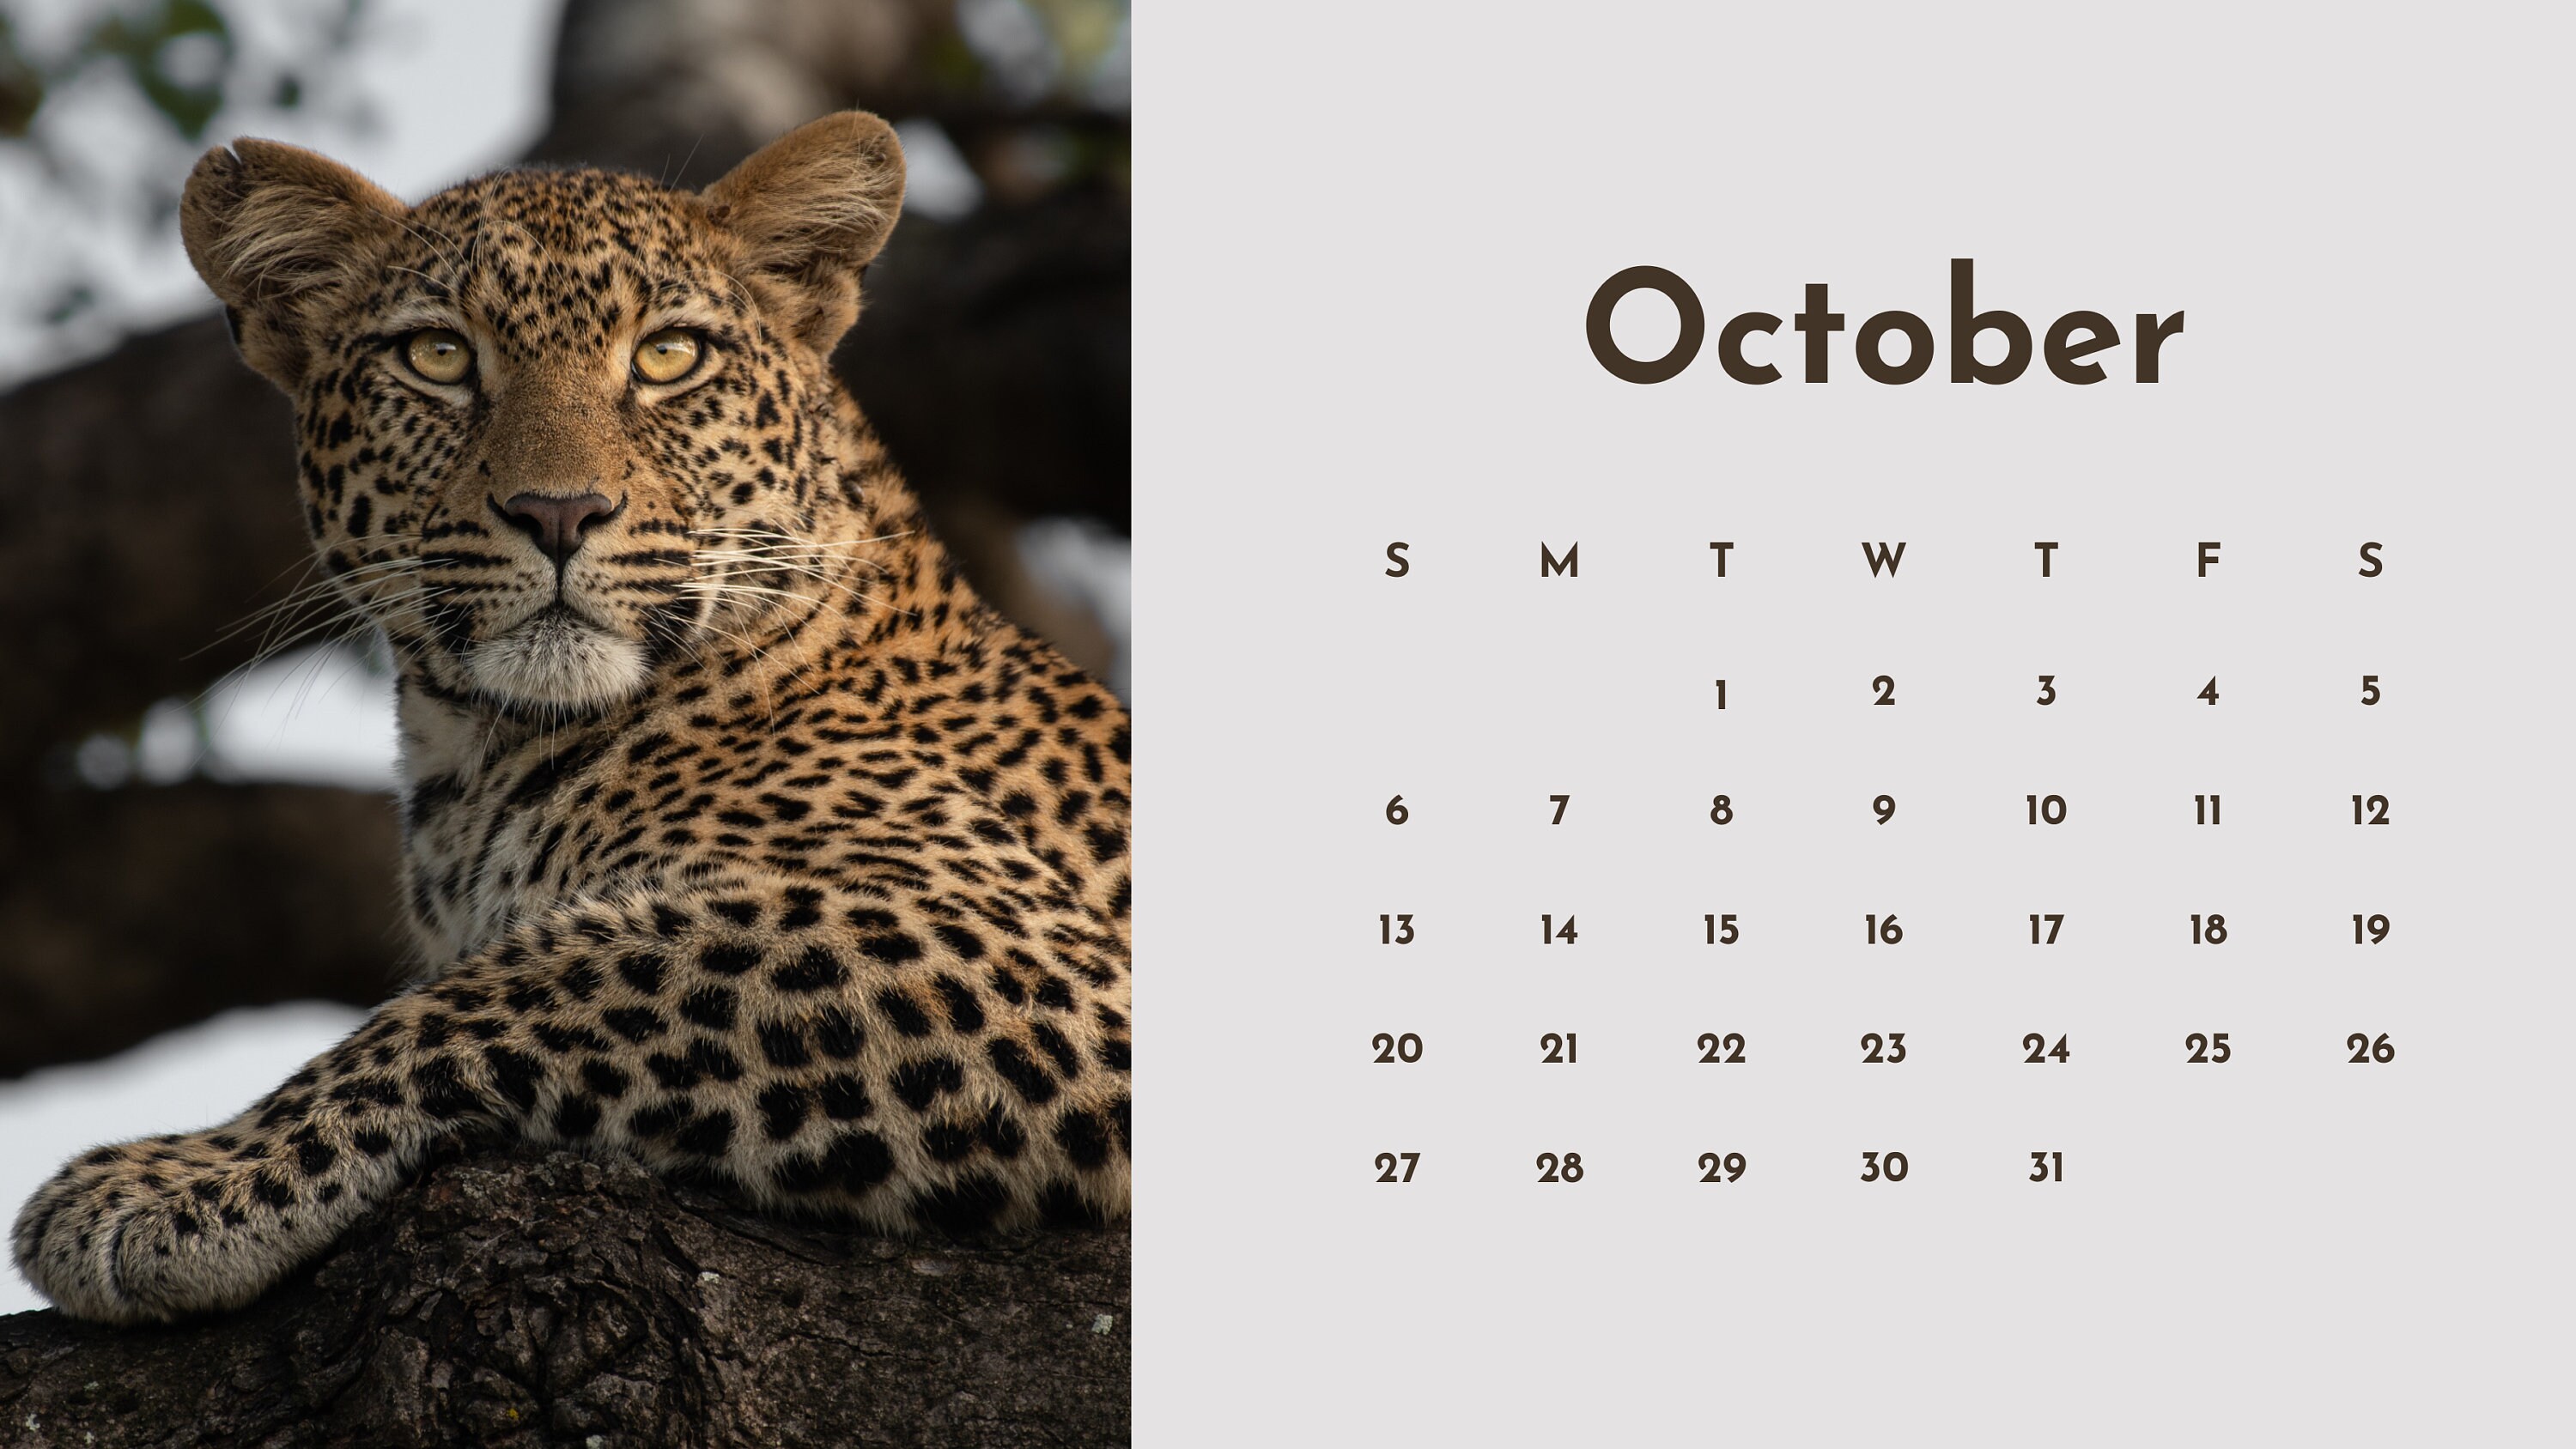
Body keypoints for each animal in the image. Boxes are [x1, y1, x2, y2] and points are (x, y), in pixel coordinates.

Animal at [9, 110, 1131, 1326]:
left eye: (669, 355)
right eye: (439, 356)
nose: (559, 512)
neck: (475, 752)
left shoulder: (1021, 948)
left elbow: (523, 979)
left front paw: (183, 1183)